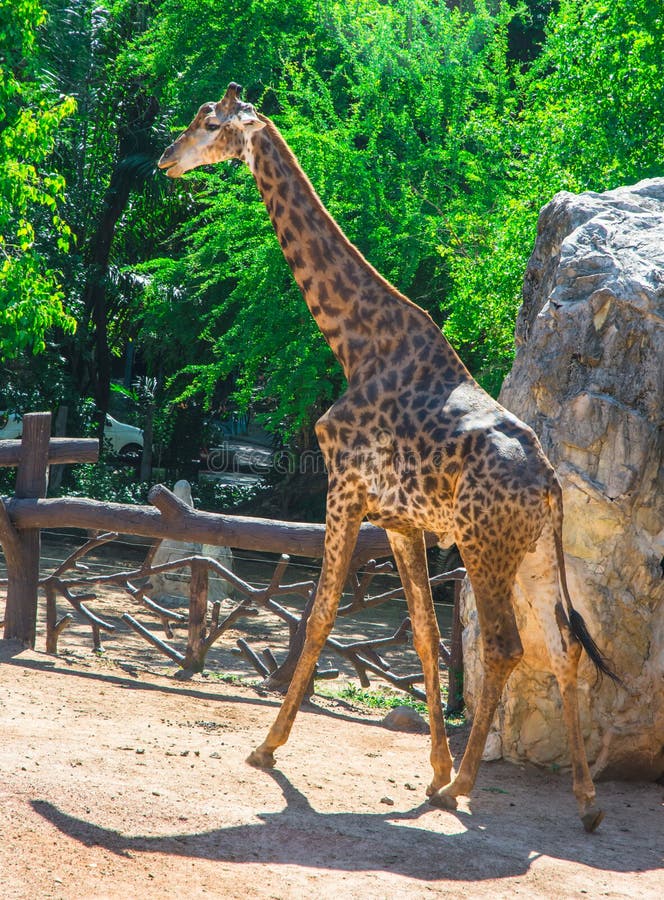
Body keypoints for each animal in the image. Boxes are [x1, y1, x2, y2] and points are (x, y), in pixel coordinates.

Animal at [159, 83, 619, 831]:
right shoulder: (403, 522)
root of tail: (552, 485)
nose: (167, 159)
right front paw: (428, 766)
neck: (355, 342)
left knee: (505, 646)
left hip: (486, 547)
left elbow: (319, 614)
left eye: (207, 123)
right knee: (562, 648)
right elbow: (426, 638)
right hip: (530, 556)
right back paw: (582, 802)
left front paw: (268, 748)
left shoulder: (344, 489)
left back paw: (462, 788)